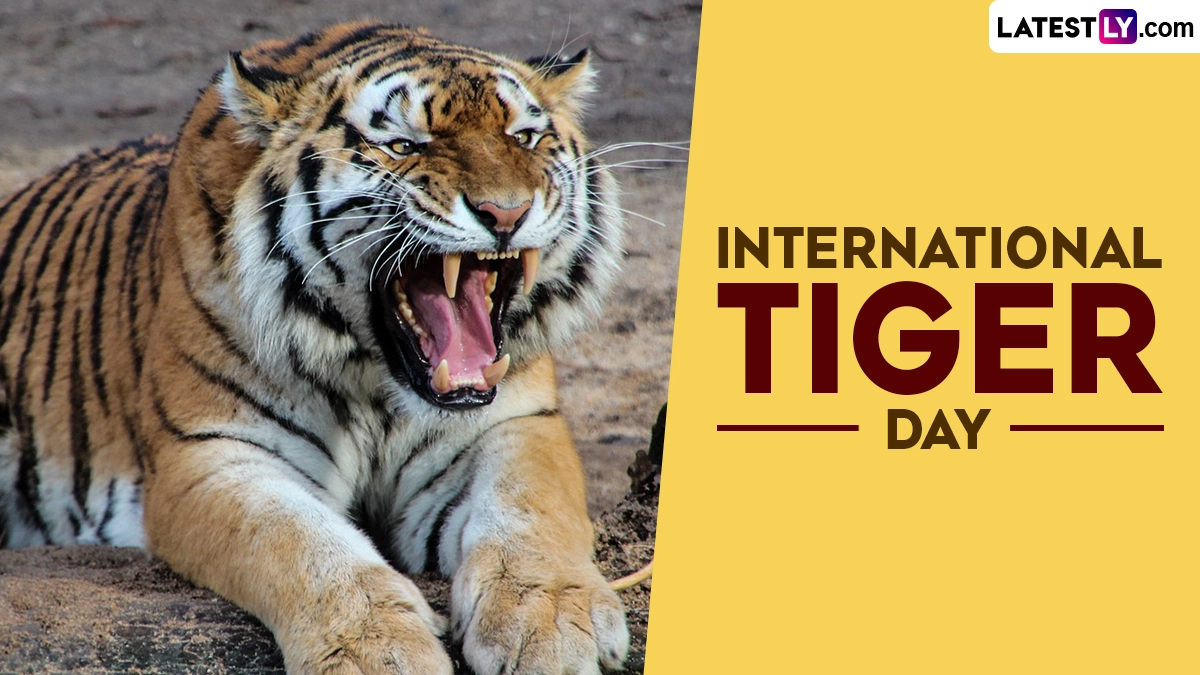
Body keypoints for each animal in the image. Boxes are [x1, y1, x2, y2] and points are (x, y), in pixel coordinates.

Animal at [0, 21, 632, 675]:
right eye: (404, 145)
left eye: (524, 137)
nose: (506, 212)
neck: (380, 384)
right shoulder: (211, 454)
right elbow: (299, 541)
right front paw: (379, 650)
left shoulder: (517, 423)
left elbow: (531, 507)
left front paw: (549, 619)